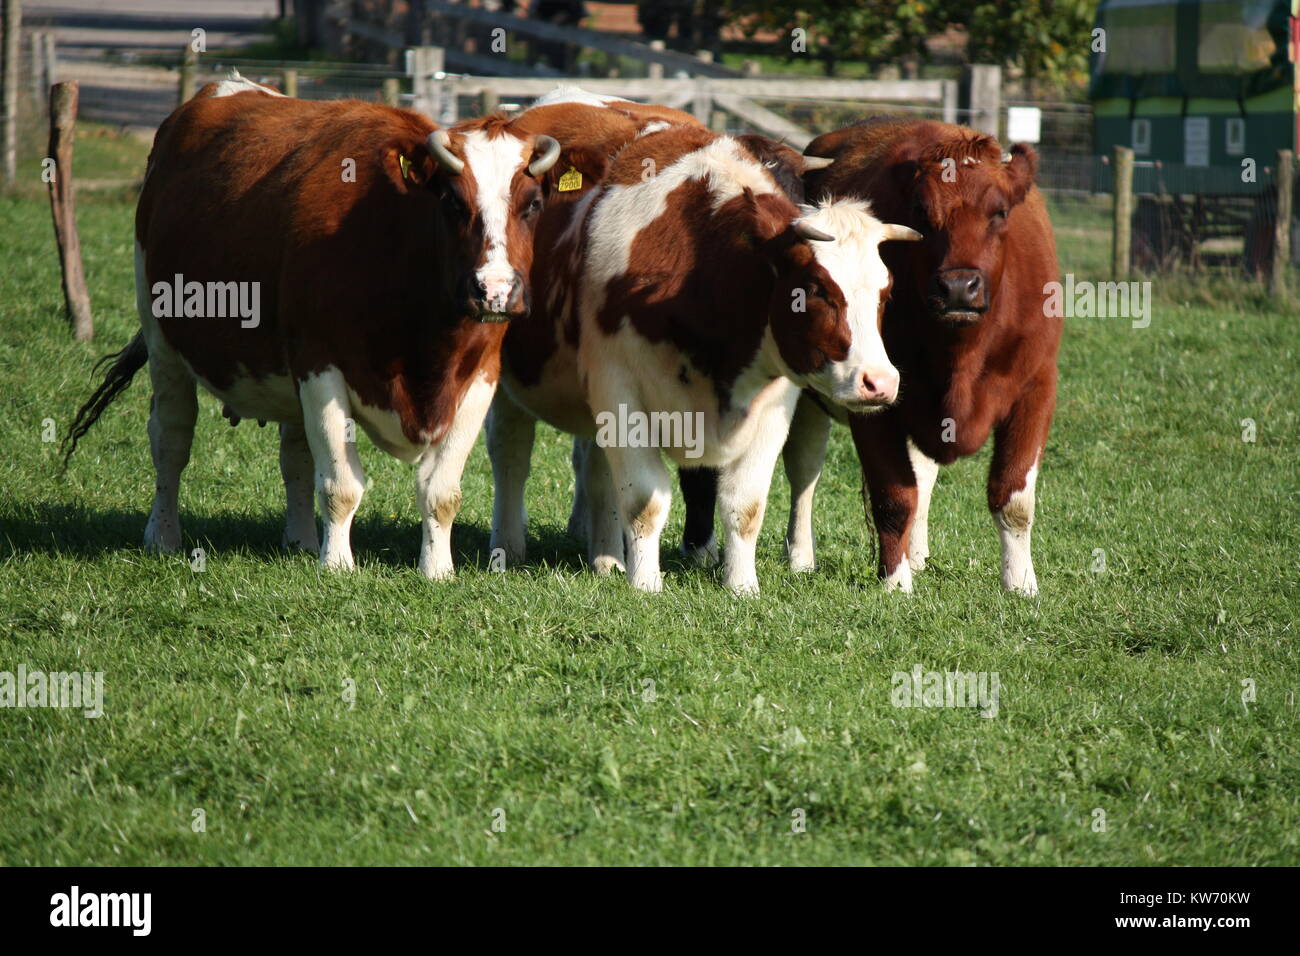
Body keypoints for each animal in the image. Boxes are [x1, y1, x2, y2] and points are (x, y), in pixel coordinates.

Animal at [61, 76, 562, 579]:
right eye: (454, 203)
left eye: (533, 204)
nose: (495, 290)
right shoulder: (320, 365)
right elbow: (341, 484)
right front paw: (337, 565)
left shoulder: (479, 375)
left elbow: (441, 492)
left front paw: (437, 570)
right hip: (162, 339)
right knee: (171, 438)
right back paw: (163, 536)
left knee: (295, 455)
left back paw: (299, 540)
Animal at [487, 121, 920, 594]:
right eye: (816, 289)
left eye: (886, 291)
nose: (881, 382)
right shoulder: (618, 391)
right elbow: (644, 500)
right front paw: (646, 584)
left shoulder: (774, 403)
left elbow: (745, 506)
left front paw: (743, 586)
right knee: (510, 456)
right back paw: (507, 548)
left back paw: (606, 557)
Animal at [677, 118, 1061, 595]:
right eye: (922, 214)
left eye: (1001, 213)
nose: (958, 287)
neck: (962, 351)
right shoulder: (874, 400)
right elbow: (893, 497)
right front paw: (895, 582)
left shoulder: (1035, 390)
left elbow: (1013, 498)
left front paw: (1021, 583)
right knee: (805, 472)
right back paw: (801, 556)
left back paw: (918, 554)